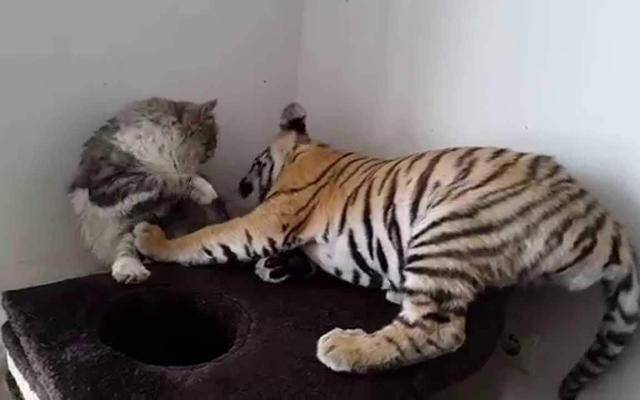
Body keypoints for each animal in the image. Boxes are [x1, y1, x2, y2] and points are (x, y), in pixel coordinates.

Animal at [134, 103, 639, 400]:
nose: (240, 184)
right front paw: (275, 268)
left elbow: (208, 237)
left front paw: (152, 239)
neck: (308, 150)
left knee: (440, 330)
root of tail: (601, 219)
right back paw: (394, 292)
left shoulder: (270, 220)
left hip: (447, 224)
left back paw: (345, 347)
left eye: (255, 163)